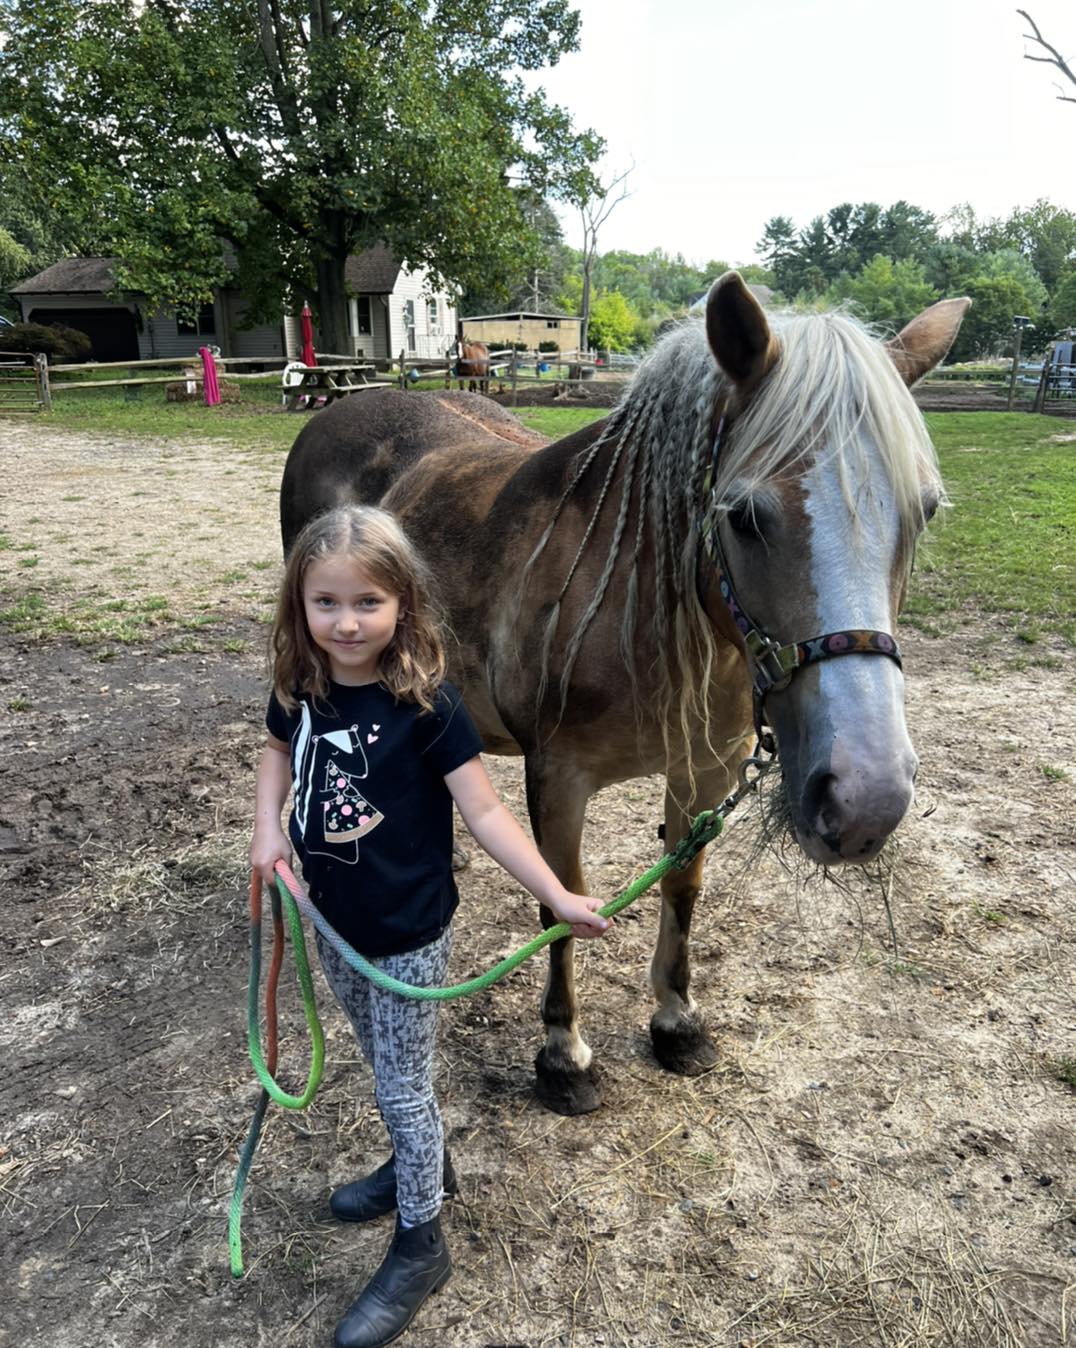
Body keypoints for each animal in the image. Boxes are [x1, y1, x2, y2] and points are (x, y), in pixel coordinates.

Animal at [281, 272, 969, 1116]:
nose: (864, 801)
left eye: (923, 510)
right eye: (744, 515)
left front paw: (677, 1020)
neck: (641, 611)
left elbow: (681, 884)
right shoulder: (559, 778)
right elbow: (561, 903)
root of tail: (345, 405)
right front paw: (563, 1056)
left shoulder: (702, 770)